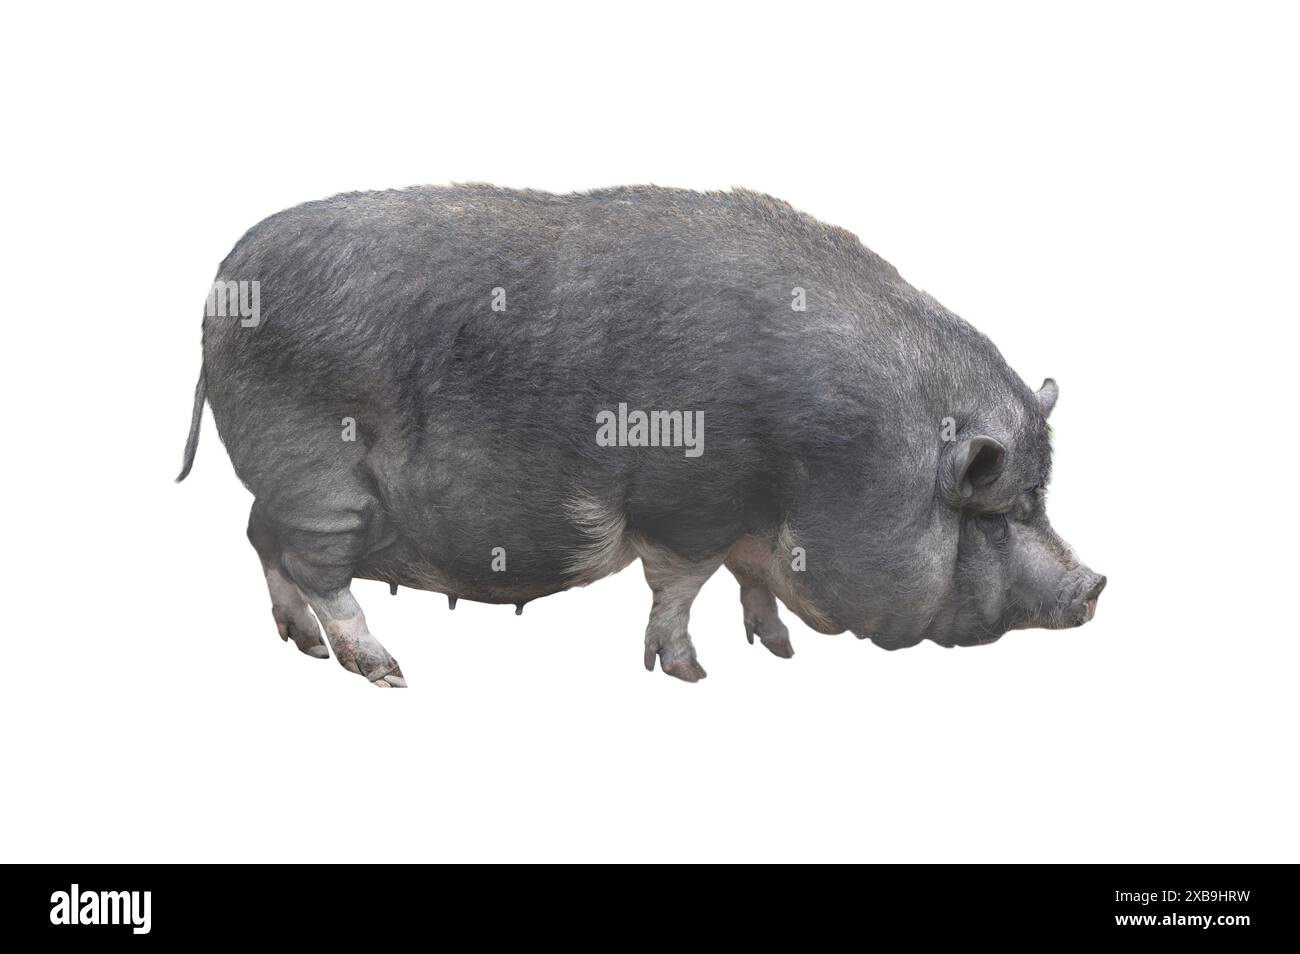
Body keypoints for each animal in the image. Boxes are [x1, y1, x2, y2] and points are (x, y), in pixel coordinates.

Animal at [178, 184, 1106, 687]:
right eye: (998, 512)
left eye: (1039, 500)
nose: (1095, 584)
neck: (835, 461)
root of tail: (222, 290)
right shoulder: (686, 501)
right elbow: (681, 584)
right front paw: (692, 673)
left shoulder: (748, 523)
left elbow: (750, 577)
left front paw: (778, 653)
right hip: (319, 477)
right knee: (315, 566)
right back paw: (387, 671)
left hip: (286, 485)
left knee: (259, 539)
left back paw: (301, 647)